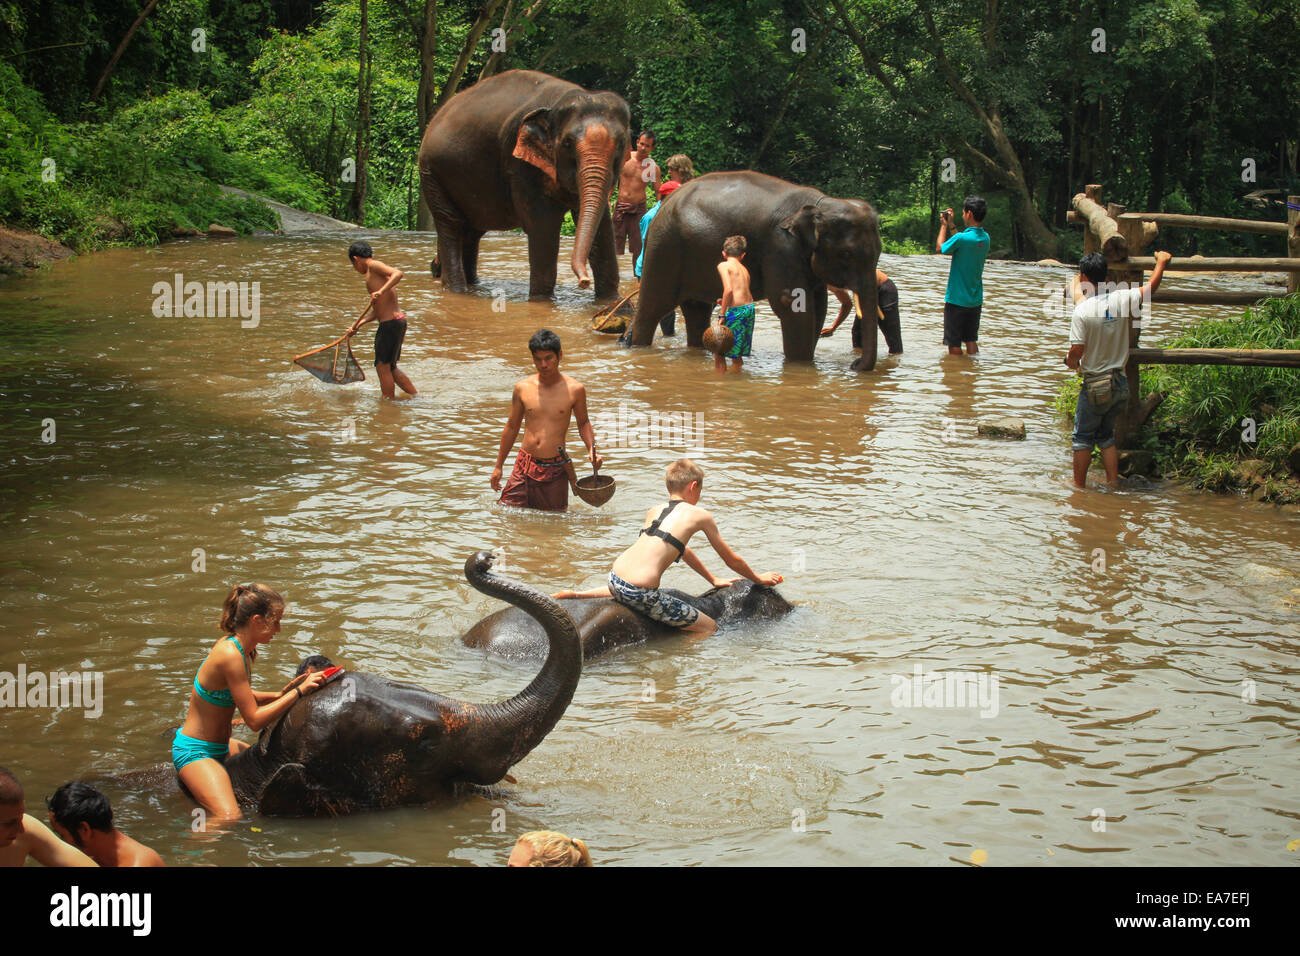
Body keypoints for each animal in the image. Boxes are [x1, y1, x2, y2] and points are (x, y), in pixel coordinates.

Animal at [418, 70, 631, 299]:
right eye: (567, 143)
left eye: (621, 143)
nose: (583, 282)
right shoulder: (520, 166)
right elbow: (543, 226)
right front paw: (541, 302)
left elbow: (602, 224)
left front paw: (613, 301)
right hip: (431, 172)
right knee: (451, 224)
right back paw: (455, 290)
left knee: (473, 230)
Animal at [624, 171, 884, 369]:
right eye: (847, 254)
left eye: (880, 251)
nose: (854, 365)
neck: (822, 203)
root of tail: (664, 203)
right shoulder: (781, 247)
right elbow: (791, 303)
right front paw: (801, 368)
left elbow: (819, 305)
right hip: (664, 248)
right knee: (653, 307)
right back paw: (638, 347)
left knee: (697, 309)